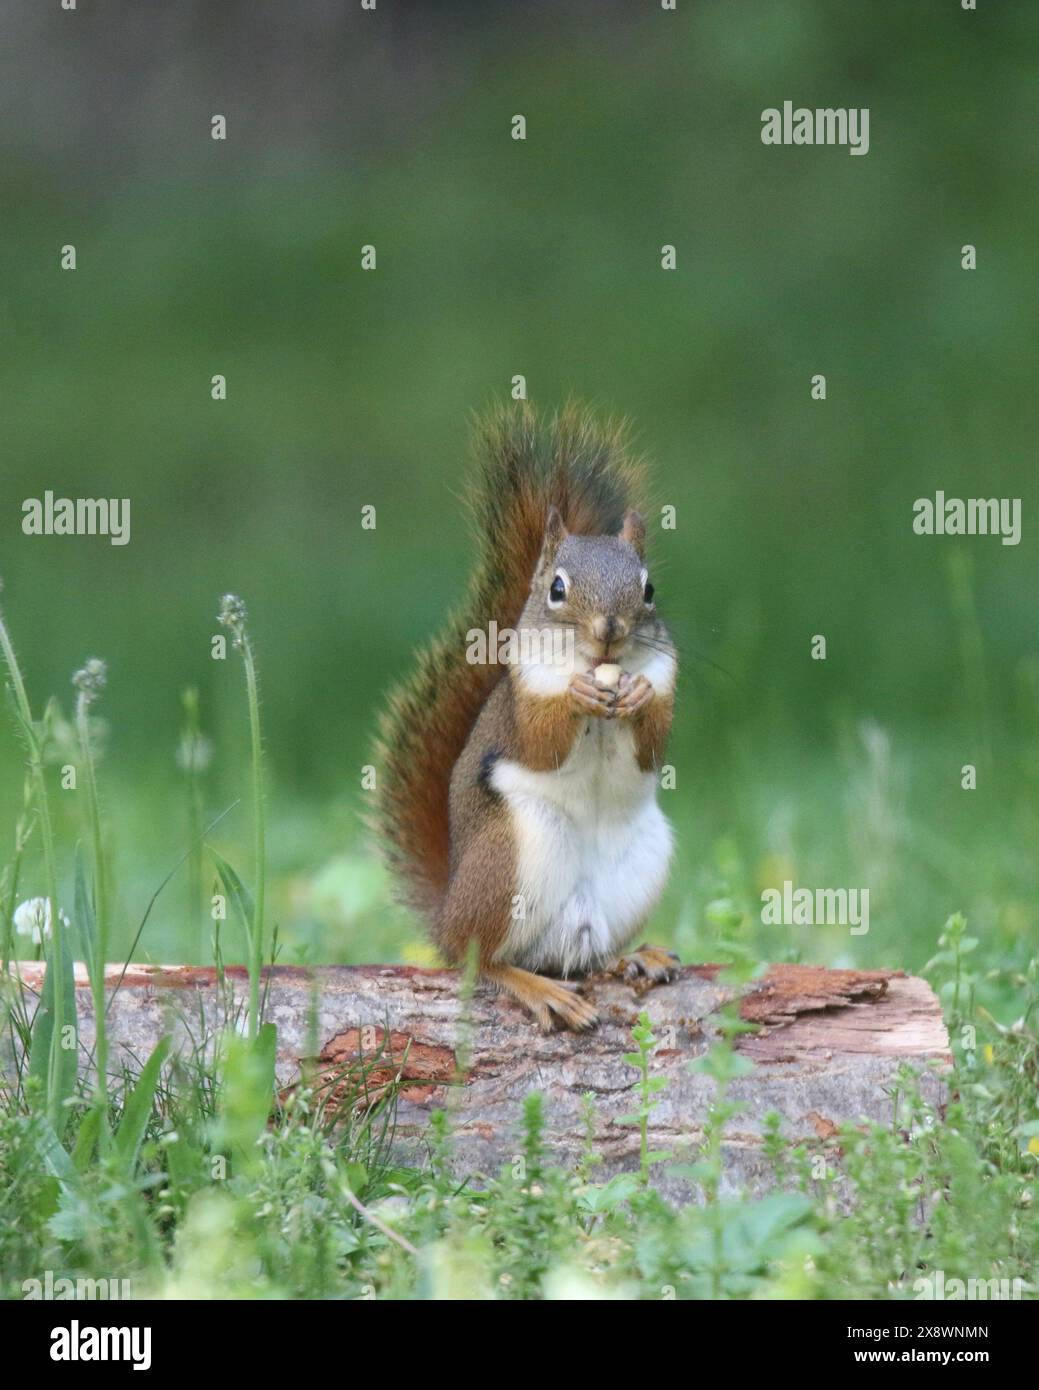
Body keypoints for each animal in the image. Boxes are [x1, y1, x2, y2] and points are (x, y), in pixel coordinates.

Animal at [374, 402, 679, 1031]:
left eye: (649, 589)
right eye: (557, 589)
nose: (609, 632)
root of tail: (447, 913)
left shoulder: (667, 679)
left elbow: (653, 744)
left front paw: (636, 695)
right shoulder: (522, 700)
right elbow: (541, 741)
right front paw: (578, 697)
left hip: (642, 865)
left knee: (584, 955)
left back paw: (632, 958)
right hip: (513, 857)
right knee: (482, 958)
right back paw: (537, 988)